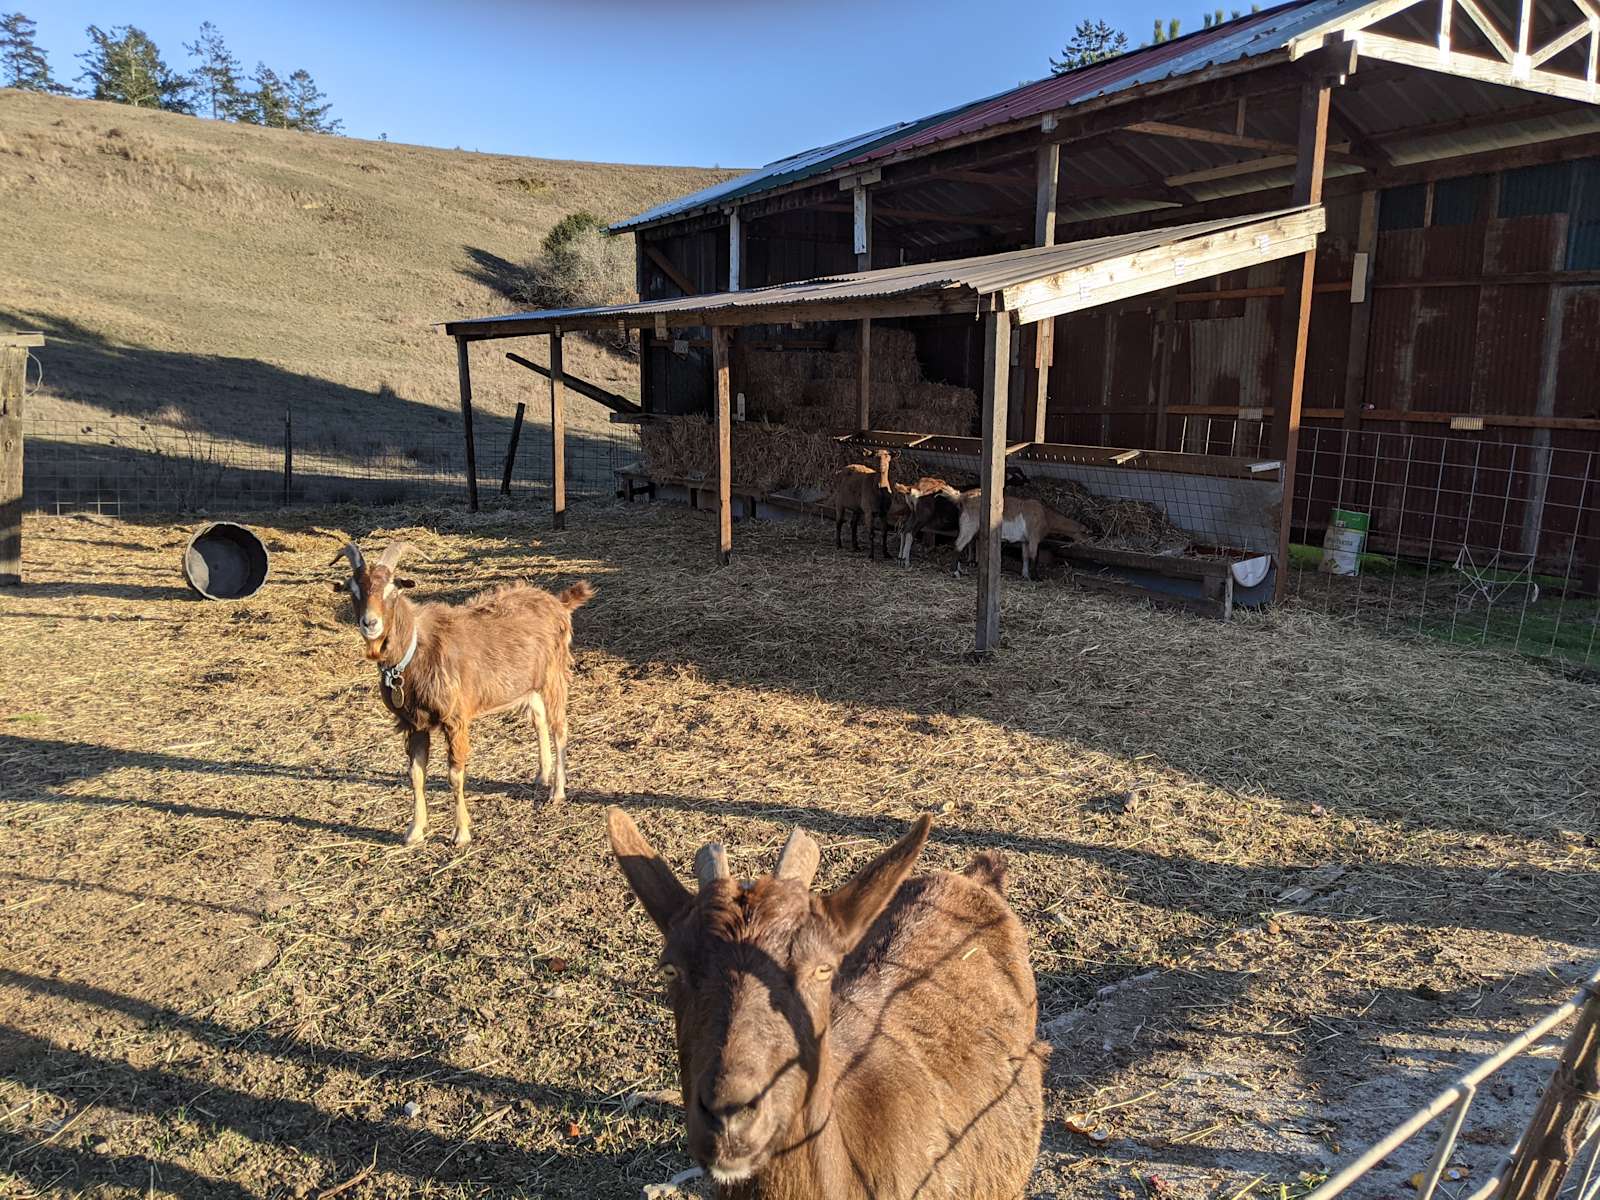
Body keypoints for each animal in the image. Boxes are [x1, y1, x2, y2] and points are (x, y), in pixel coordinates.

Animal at [331, 541, 593, 847]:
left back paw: (557, 792)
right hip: (528, 683)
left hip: (554, 675)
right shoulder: (414, 723)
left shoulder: (455, 719)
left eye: (392, 590)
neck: (414, 652)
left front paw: (461, 833)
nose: (370, 623)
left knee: (560, 727)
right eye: (353, 589)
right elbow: (415, 774)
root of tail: (557, 603)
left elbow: (455, 775)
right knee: (539, 719)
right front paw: (414, 830)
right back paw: (542, 775)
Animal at [944, 488, 1090, 580]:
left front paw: (1025, 575)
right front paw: (1036, 577)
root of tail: (962, 497)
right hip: (969, 525)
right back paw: (955, 572)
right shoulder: (1034, 537)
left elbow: (1025, 556)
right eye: (1085, 533)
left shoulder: (1025, 540)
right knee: (958, 545)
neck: (1046, 516)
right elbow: (1034, 556)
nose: (1086, 542)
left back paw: (961, 569)